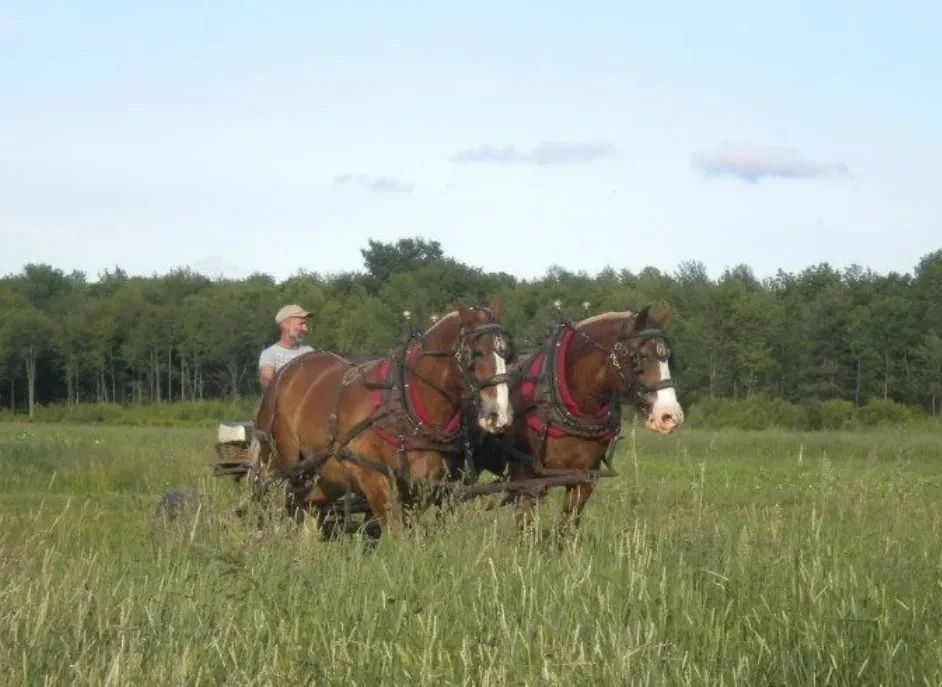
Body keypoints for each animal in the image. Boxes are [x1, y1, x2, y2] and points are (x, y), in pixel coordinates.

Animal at [254, 302, 513, 535]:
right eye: (475, 354)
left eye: (506, 354)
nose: (498, 415)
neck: (405, 404)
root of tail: (287, 370)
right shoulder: (374, 478)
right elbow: (396, 535)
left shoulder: (425, 484)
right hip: (277, 462)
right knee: (270, 499)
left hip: (326, 474)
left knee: (308, 507)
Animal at [471, 306, 683, 533]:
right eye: (641, 357)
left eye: (668, 358)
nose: (670, 416)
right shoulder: (525, 478)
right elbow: (526, 526)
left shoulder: (584, 479)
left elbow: (567, 526)